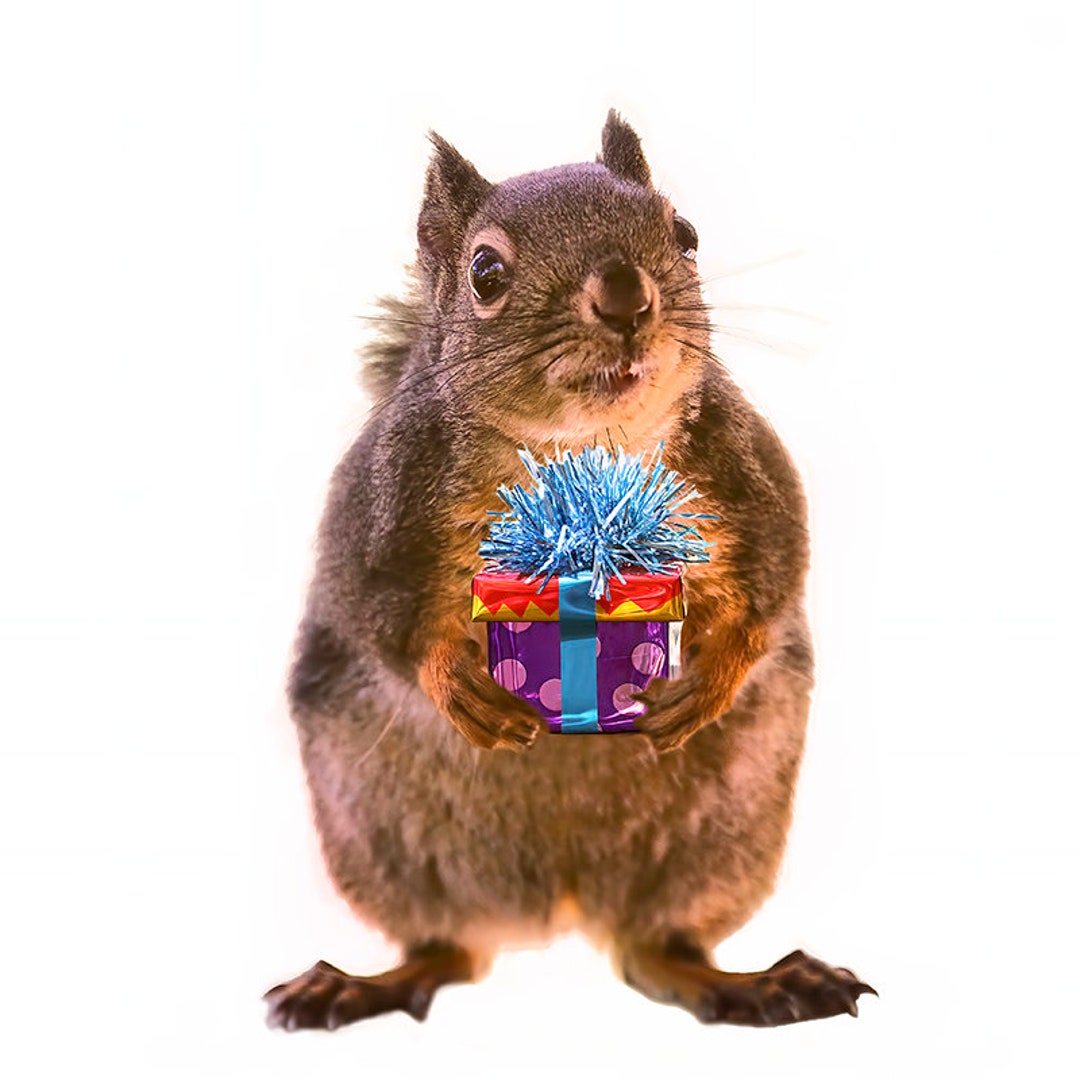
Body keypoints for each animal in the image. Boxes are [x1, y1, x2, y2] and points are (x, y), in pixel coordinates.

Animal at [264, 112, 875, 1030]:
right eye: (485, 273)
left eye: (684, 234)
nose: (627, 297)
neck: (584, 450)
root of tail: (563, 905)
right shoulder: (375, 512)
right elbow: (380, 612)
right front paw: (455, 683)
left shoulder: (750, 474)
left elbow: (776, 576)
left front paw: (710, 678)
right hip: (379, 841)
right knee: (446, 947)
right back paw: (371, 981)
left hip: (729, 832)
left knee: (657, 951)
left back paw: (748, 983)